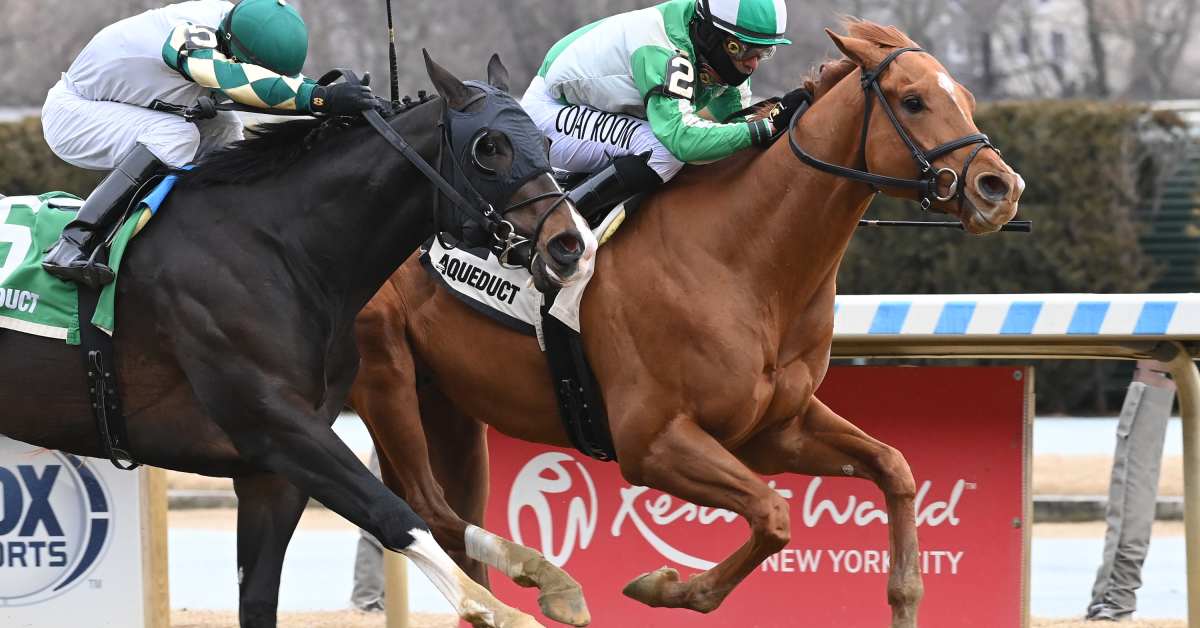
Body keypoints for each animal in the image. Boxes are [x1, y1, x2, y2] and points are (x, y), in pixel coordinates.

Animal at [0, 53, 596, 628]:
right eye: (488, 147)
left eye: (545, 142)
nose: (570, 244)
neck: (280, 249)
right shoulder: (274, 425)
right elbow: (394, 515)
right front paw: (502, 607)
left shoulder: (270, 472)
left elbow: (261, 600)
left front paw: (550, 580)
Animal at [349, 22, 1025, 628]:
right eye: (913, 100)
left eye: (965, 97)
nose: (1000, 186)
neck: (743, 257)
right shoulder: (652, 442)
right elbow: (773, 515)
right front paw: (660, 585)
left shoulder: (774, 430)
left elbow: (894, 467)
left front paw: (905, 599)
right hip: (385, 377)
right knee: (425, 507)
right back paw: (552, 588)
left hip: (450, 406)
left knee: (457, 522)